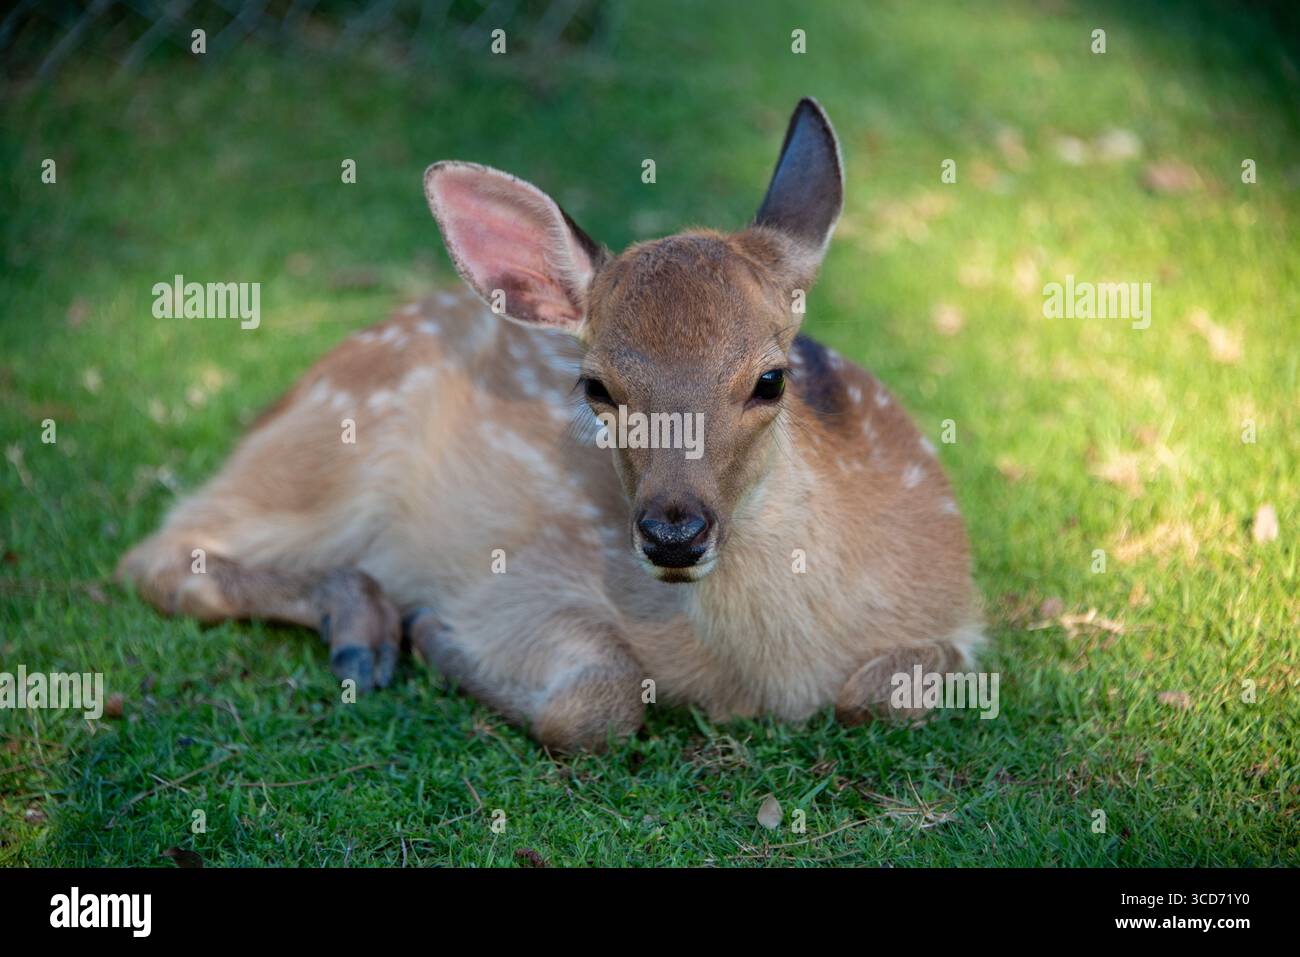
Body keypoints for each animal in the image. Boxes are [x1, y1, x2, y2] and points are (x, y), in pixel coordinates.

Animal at [118, 98, 983, 751]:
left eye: (771, 379)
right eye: (595, 385)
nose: (673, 533)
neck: (770, 677)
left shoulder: (961, 618)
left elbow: (890, 690)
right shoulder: (517, 576)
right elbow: (600, 700)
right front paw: (435, 634)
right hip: (334, 445)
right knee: (161, 550)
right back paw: (365, 630)